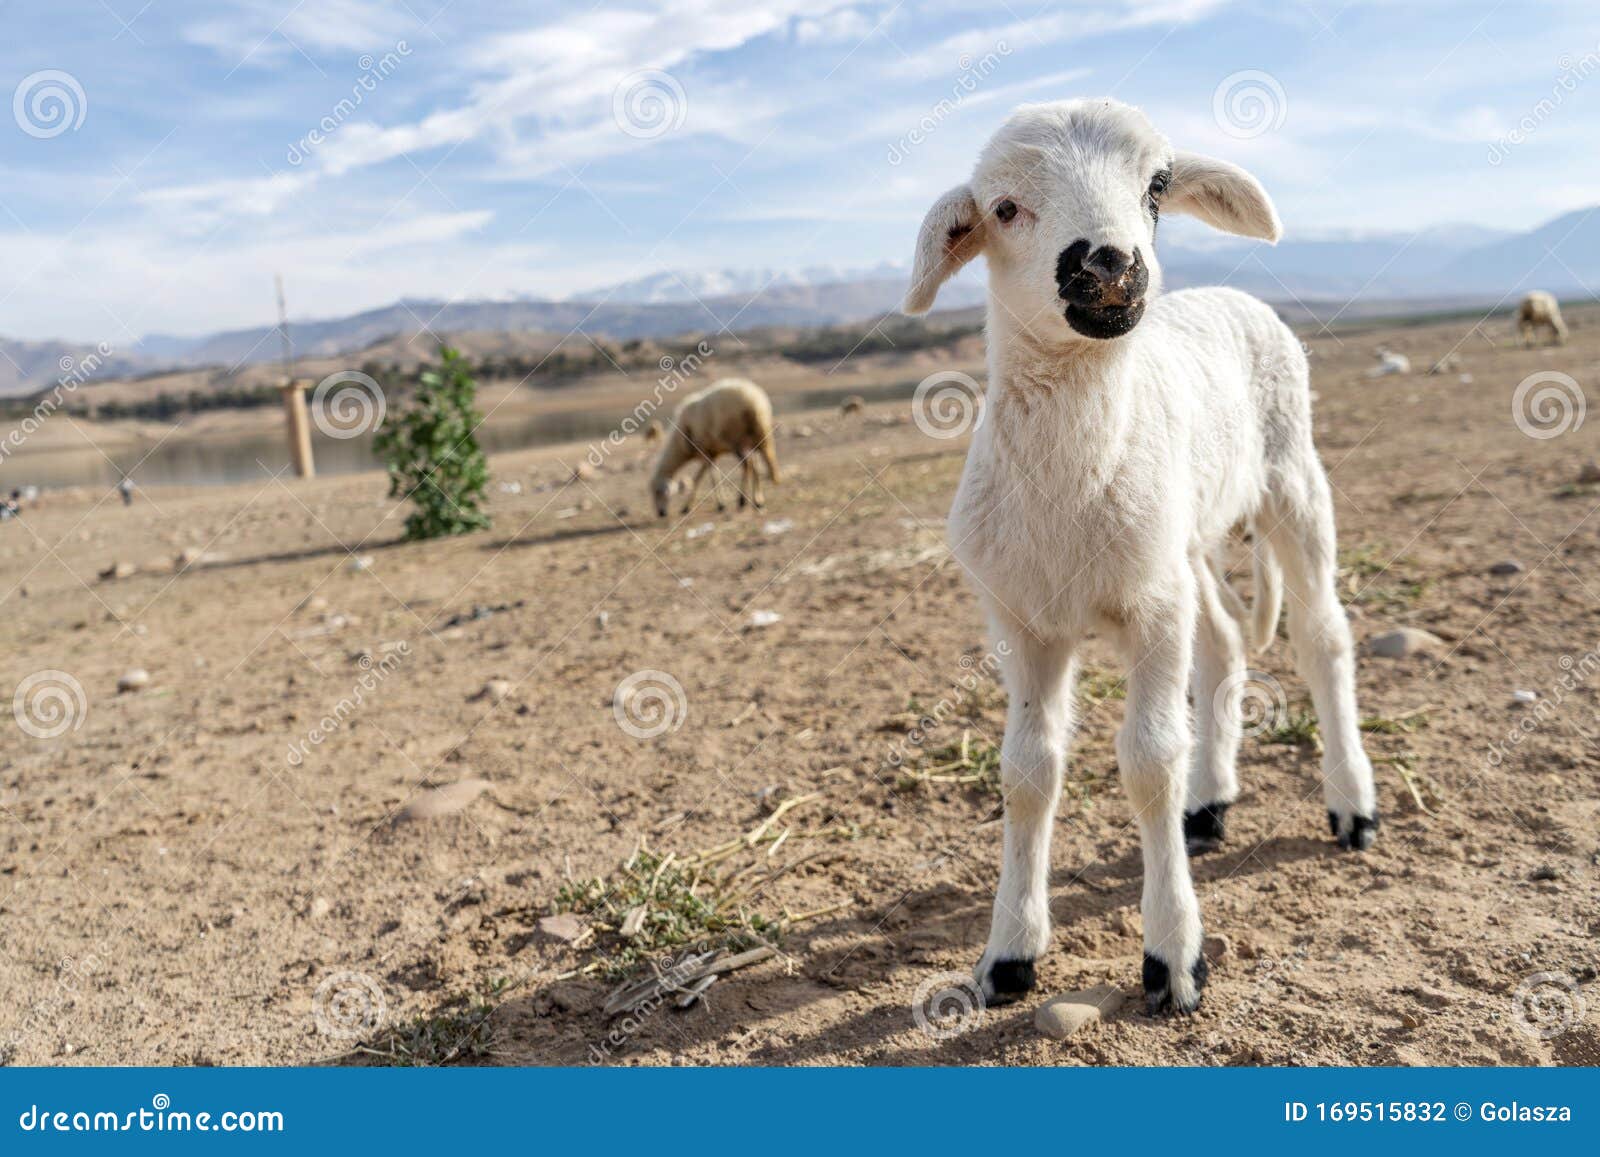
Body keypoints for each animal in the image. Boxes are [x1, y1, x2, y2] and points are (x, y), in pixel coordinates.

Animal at [649, 379, 780, 518]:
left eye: (658, 492)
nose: (661, 513)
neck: (679, 443)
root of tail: (755, 402)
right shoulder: (711, 453)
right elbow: (703, 477)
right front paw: (688, 507)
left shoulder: (704, 451)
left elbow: (708, 479)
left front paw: (718, 506)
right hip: (756, 437)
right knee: (755, 465)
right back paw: (758, 502)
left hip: (736, 439)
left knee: (748, 464)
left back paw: (742, 501)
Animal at [903, 98, 1376, 1015]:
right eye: (1004, 207)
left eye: (1157, 186)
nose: (1111, 263)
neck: (1069, 489)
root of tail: (1228, 292)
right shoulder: (1023, 619)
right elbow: (1026, 772)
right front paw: (1009, 953)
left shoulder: (1151, 607)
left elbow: (1151, 760)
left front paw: (1172, 957)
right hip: (1182, 540)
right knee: (1224, 644)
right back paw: (1211, 805)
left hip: (1293, 480)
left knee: (1323, 637)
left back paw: (1352, 806)